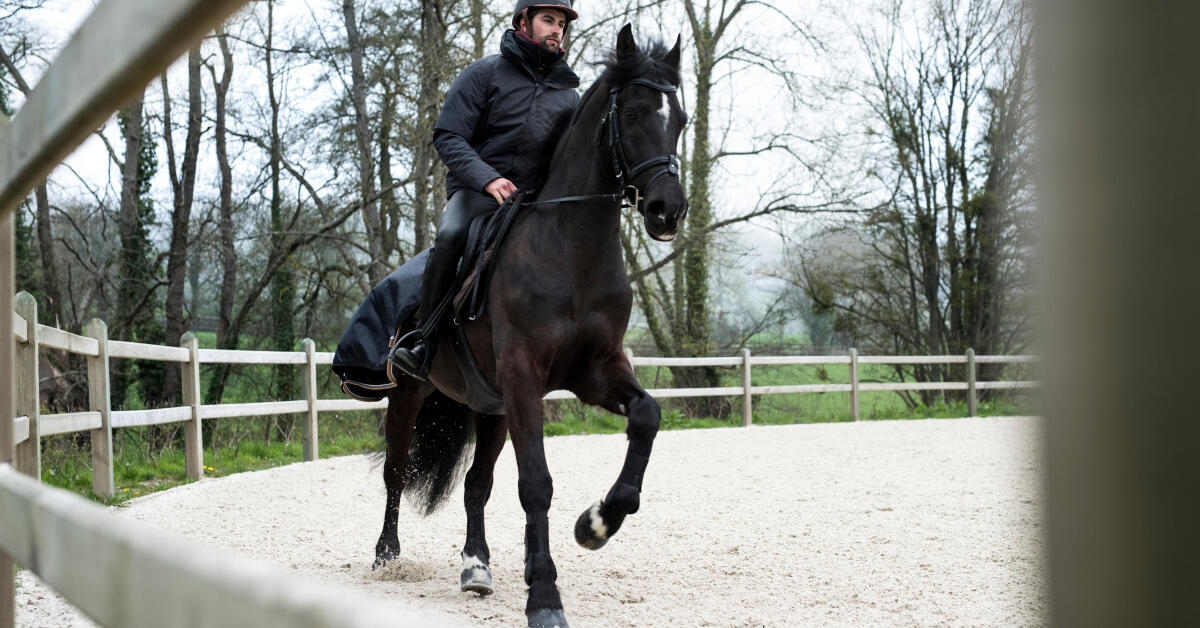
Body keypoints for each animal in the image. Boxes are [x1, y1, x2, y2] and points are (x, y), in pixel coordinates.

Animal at [372, 25, 688, 628]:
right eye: (633, 112)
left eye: (680, 118)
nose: (668, 210)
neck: (570, 250)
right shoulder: (524, 376)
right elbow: (535, 484)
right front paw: (544, 597)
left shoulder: (595, 370)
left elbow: (647, 416)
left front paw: (597, 523)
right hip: (411, 397)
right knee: (396, 473)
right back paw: (385, 556)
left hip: (491, 408)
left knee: (477, 485)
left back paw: (476, 567)